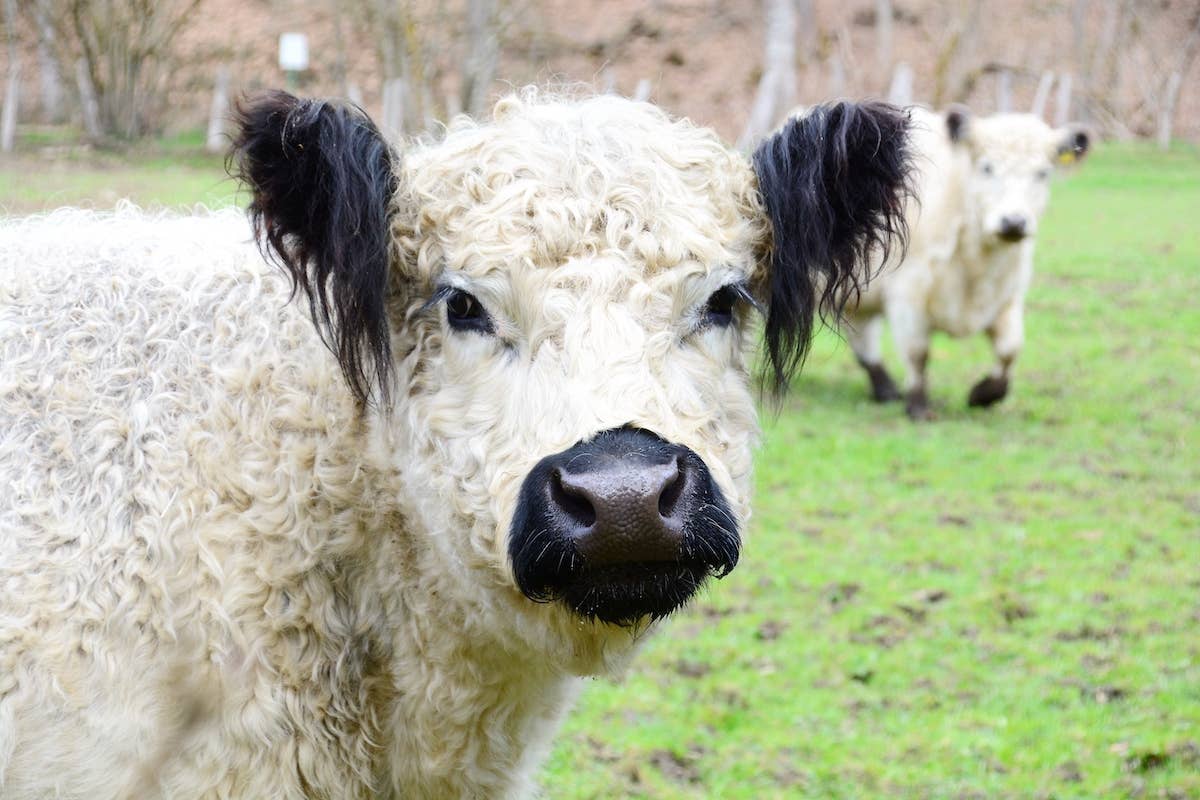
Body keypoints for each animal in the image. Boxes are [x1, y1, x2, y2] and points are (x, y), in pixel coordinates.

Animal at [842, 105, 1090, 419]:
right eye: (987, 167)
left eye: (1042, 173)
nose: (1013, 222)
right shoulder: (908, 296)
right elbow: (918, 352)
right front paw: (918, 406)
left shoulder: (1008, 297)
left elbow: (1010, 349)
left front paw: (983, 394)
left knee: (862, 337)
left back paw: (885, 389)